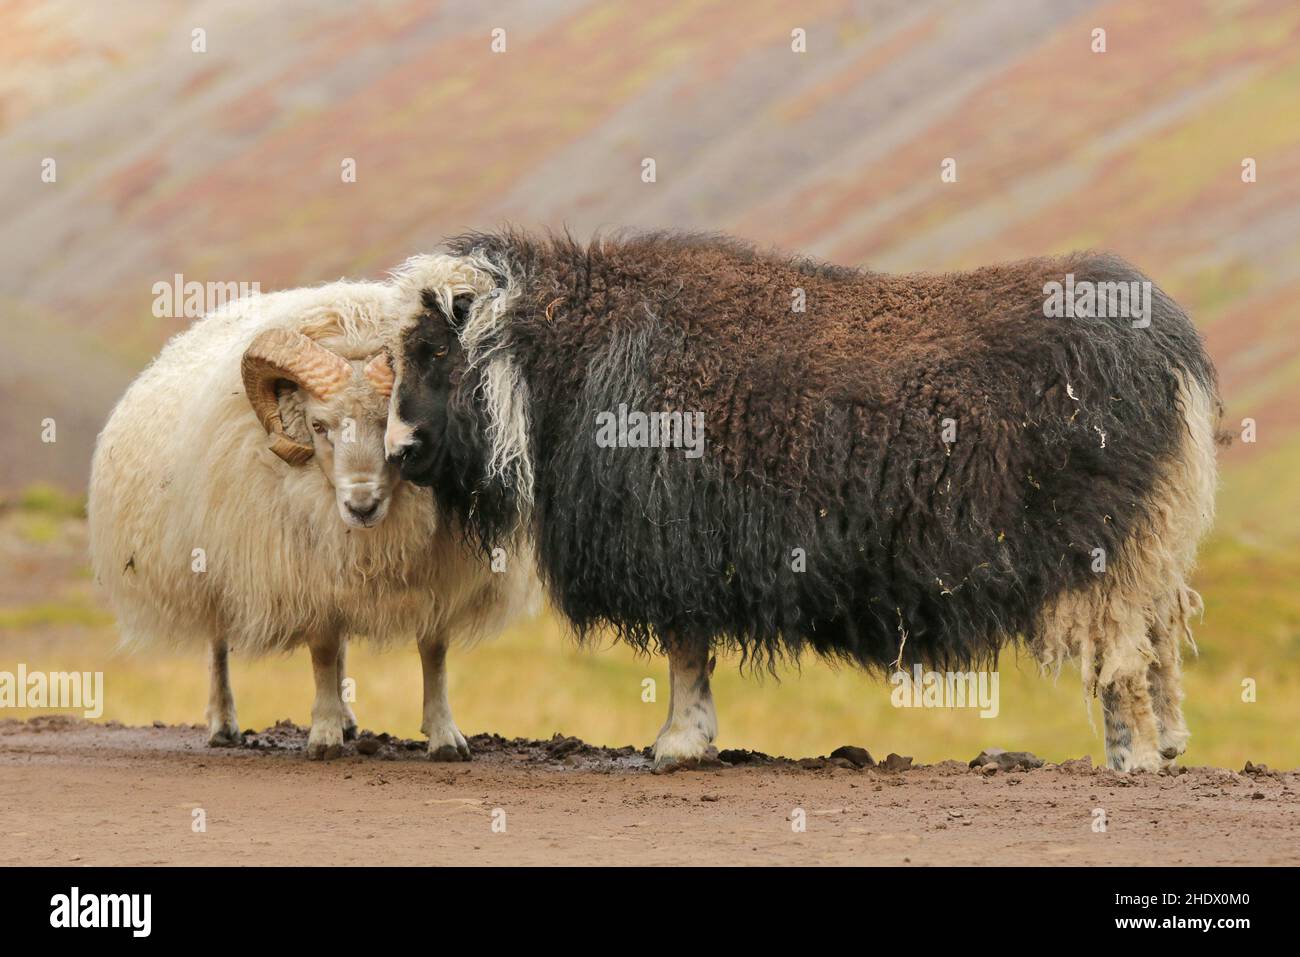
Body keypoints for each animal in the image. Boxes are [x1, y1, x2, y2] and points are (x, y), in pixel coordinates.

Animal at [88, 278, 538, 759]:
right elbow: (322, 650)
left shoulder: (437, 574)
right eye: (319, 426)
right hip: (211, 566)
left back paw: (347, 720)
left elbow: (432, 652)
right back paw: (224, 723)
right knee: (218, 643)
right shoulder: (305, 571)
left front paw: (443, 735)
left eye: (392, 421)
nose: (361, 506)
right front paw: (323, 735)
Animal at [383, 229, 1219, 773]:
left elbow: (685, 647)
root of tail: (1168, 350)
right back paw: (1171, 742)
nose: (397, 450)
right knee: (1160, 639)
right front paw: (691, 738)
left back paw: (1134, 759)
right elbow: (694, 649)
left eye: (432, 349)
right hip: (1151, 540)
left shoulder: (675, 545)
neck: (564, 351)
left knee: (1122, 655)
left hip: (1104, 551)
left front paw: (676, 744)